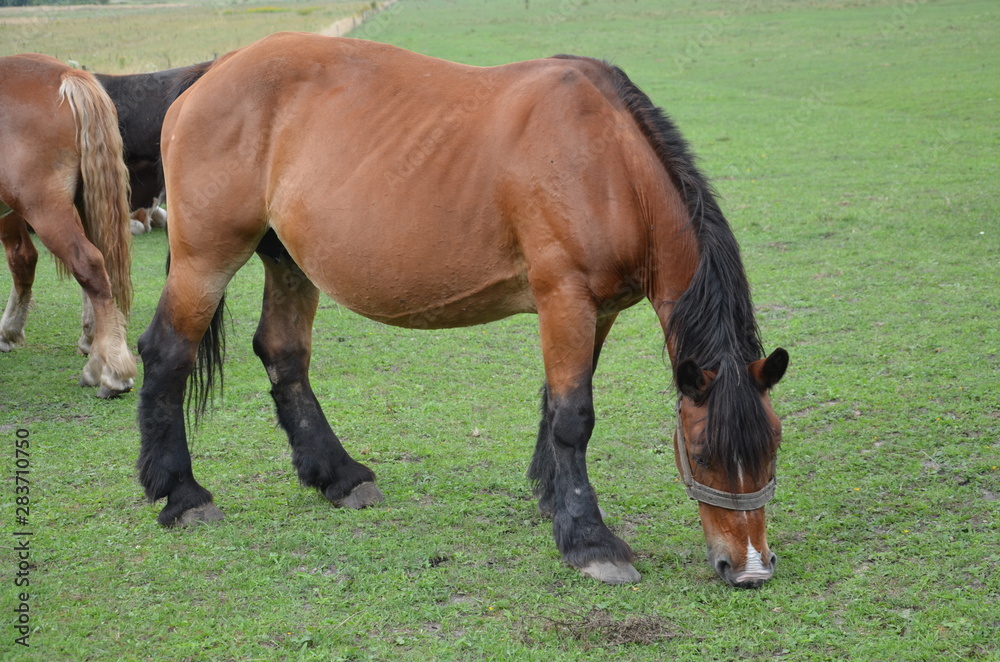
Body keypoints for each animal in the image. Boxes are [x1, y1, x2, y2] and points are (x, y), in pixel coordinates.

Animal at [137, 32, 789, 587]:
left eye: (774, 447)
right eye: (702, 454)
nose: (749, 567)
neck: (608, 164)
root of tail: (216, 68)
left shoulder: (596, 310)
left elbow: (555, 402)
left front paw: (553, 499)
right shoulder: (566, 297)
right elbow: (574, 417)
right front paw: (589, 540)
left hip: (287, 260)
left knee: (283, 354)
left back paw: (339, 476)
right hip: (206, 258)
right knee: (167, 354)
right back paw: (182, 494)